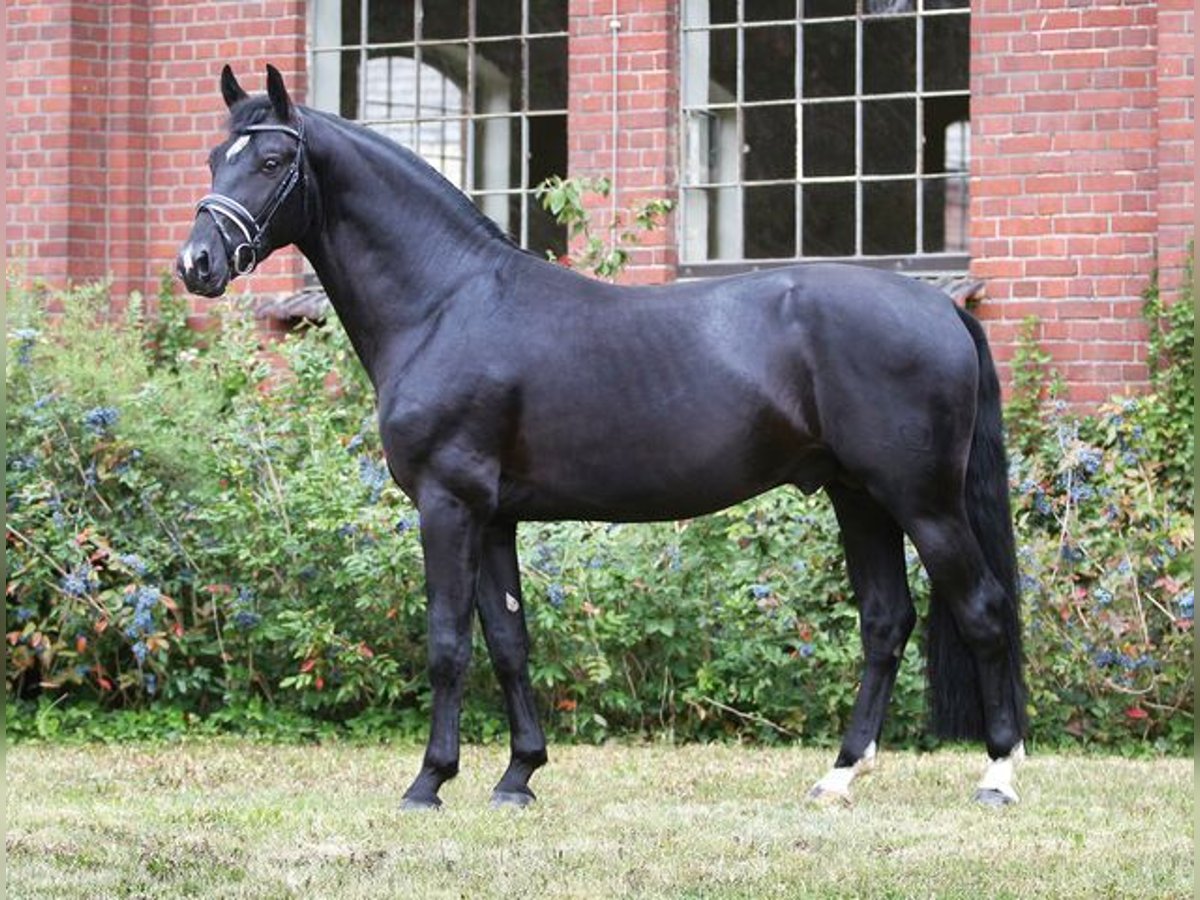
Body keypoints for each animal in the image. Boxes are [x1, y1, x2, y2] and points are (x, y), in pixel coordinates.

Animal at [178, 66, 1028, 810]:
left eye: (274, 159)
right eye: (217, 156)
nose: (197, 263)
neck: (447, 303)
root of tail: (942, 306)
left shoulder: (447, 505)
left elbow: (448, 642)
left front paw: (429, 782)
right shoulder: (495, 518)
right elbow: (509, 640)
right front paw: (518, 776)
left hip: (922, 502)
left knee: (983, 608)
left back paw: (998, 776)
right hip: (860, 498)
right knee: (886, 622)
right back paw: (838, 777)